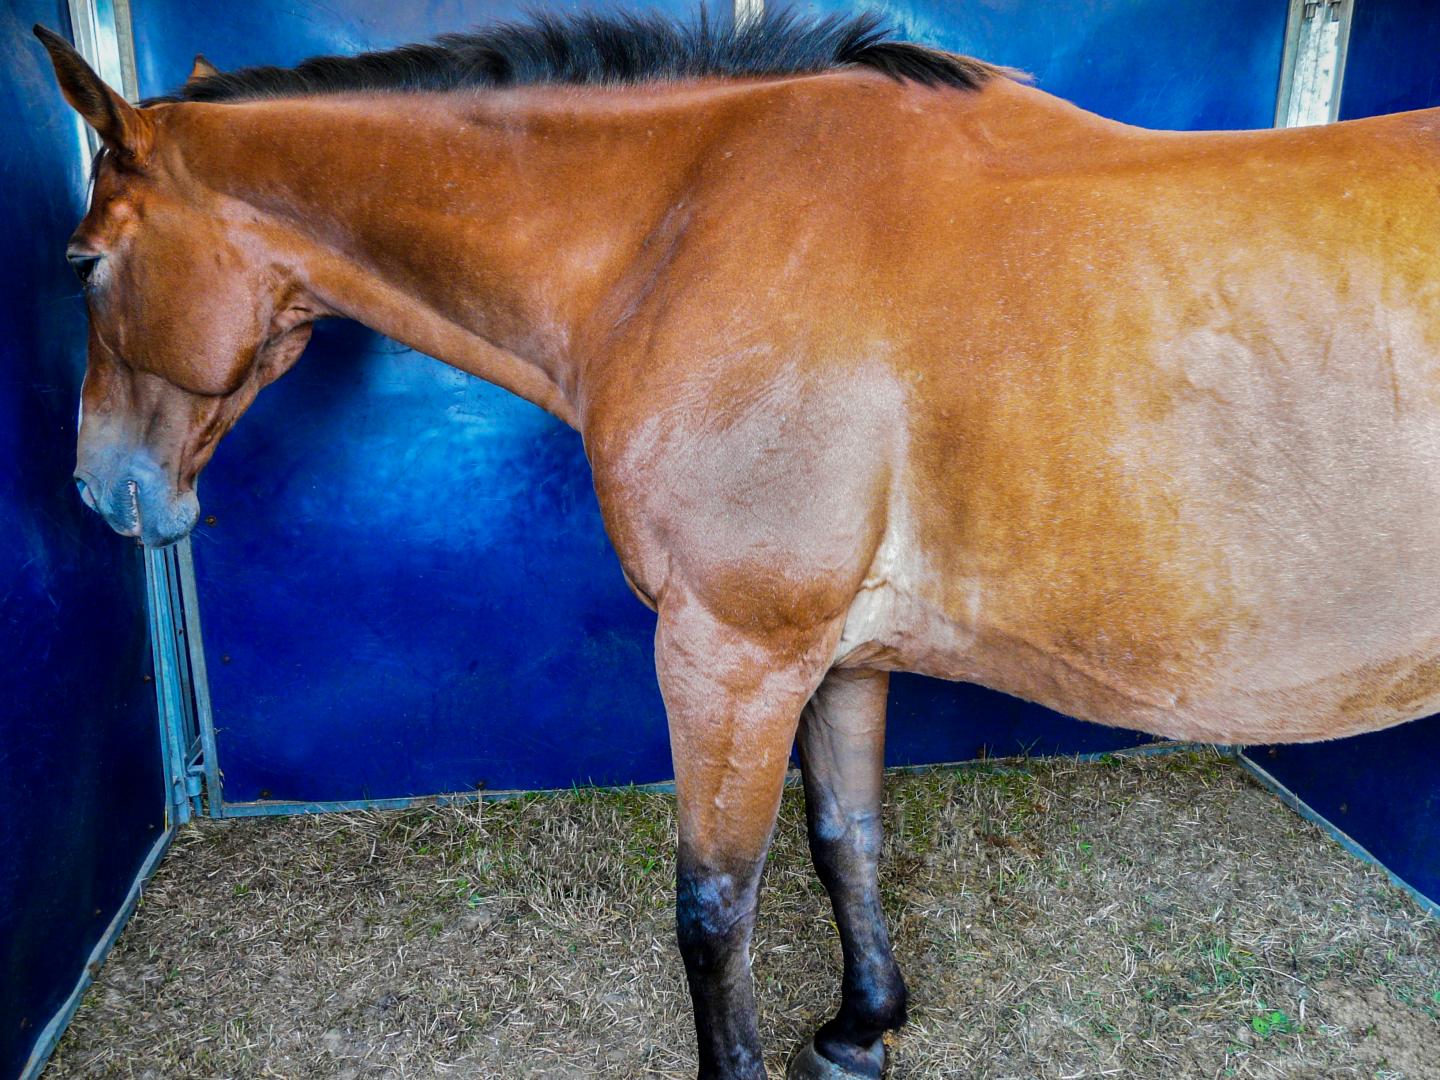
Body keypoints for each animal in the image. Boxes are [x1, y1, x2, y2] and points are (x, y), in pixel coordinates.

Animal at [34, 10, 1440, 1078]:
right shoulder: (839, 656)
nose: (102, 489)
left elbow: (715, 906)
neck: (690, 223)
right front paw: (862, 1030)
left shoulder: (730, 652)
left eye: (83, 262)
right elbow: (845, 841)